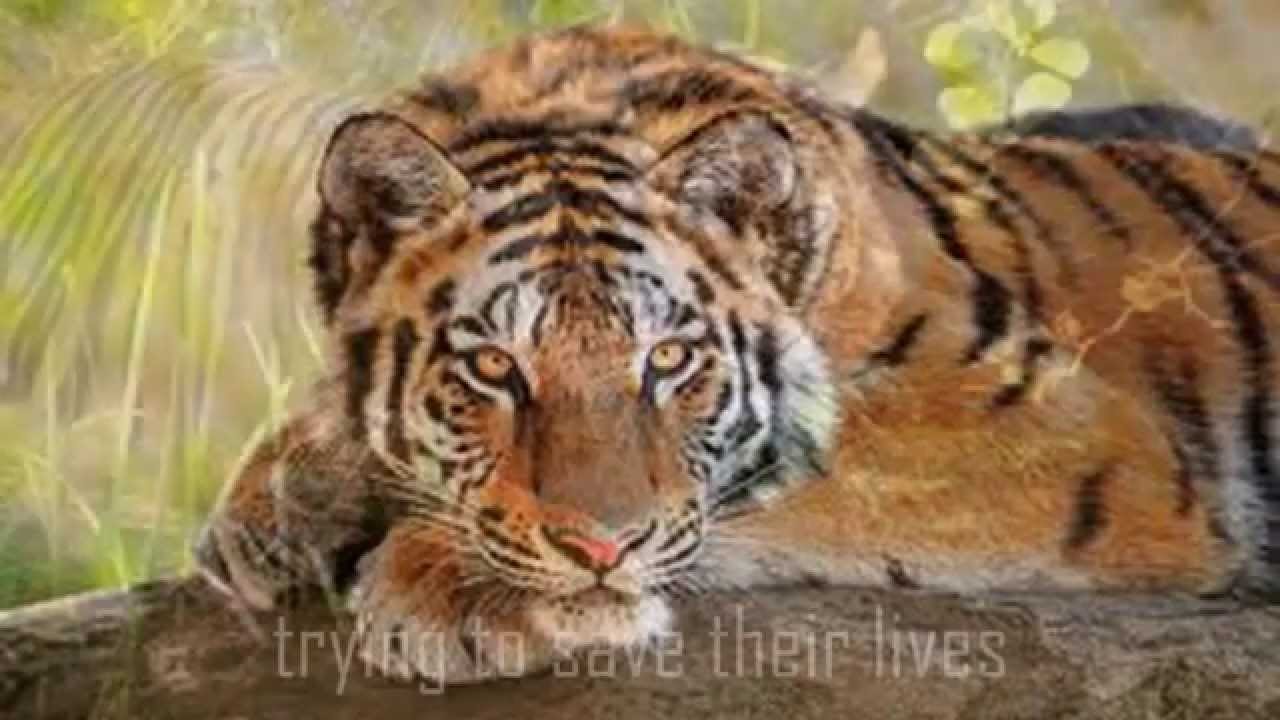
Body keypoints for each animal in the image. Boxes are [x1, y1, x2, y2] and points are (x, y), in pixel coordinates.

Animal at [194, 26, 1280, 685]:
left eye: (669, 359)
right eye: (495, 368)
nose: (597, 553)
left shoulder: (1064, 436)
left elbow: (768, 485)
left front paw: (459, 586)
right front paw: (278, 503)